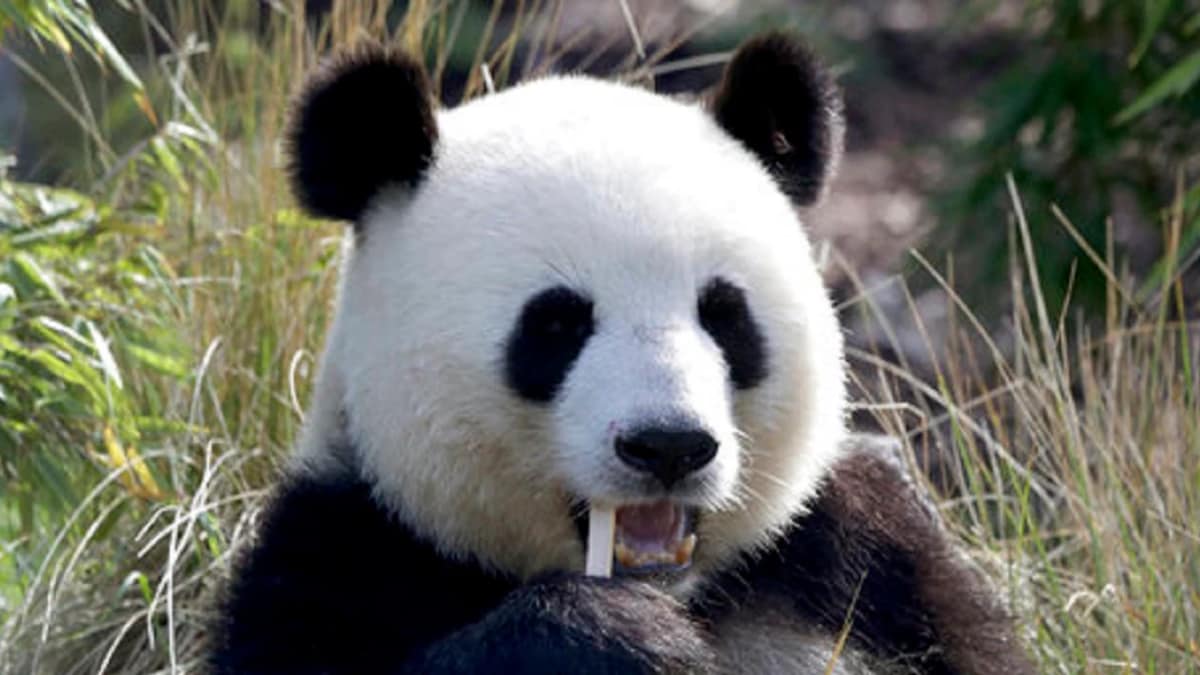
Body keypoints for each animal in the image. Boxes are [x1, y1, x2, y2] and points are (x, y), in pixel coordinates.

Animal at [211, 32, 1032, 675]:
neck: (682, 591)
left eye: (724, 314)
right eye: (555, 326)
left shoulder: (867, 563)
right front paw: (611, 637)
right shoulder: (339, 551)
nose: (669, 445)